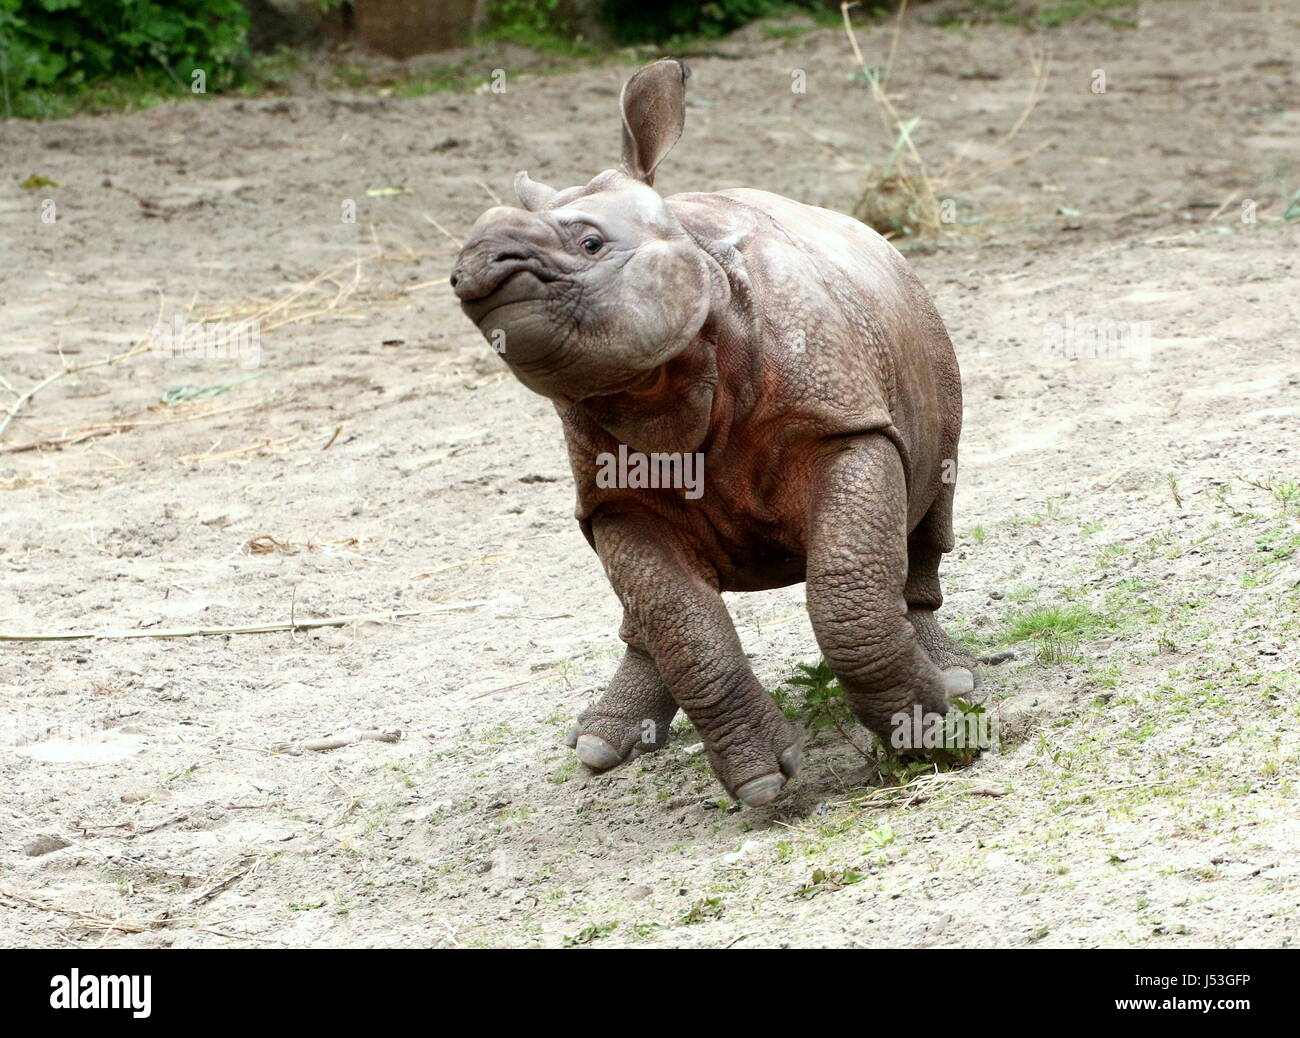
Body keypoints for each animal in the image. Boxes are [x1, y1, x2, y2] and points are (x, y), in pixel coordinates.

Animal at [450, 59, 976, 807]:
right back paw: (600, 745)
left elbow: (847, 589)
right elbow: (684, 628)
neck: (668, 381)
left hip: (926, 331)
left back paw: (956, 677)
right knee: (650, 616)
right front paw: (762, 782)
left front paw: (934, 739)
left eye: (590, 243)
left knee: (930, 504)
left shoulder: (845, 427)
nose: (477, 269)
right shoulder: (614, 497)